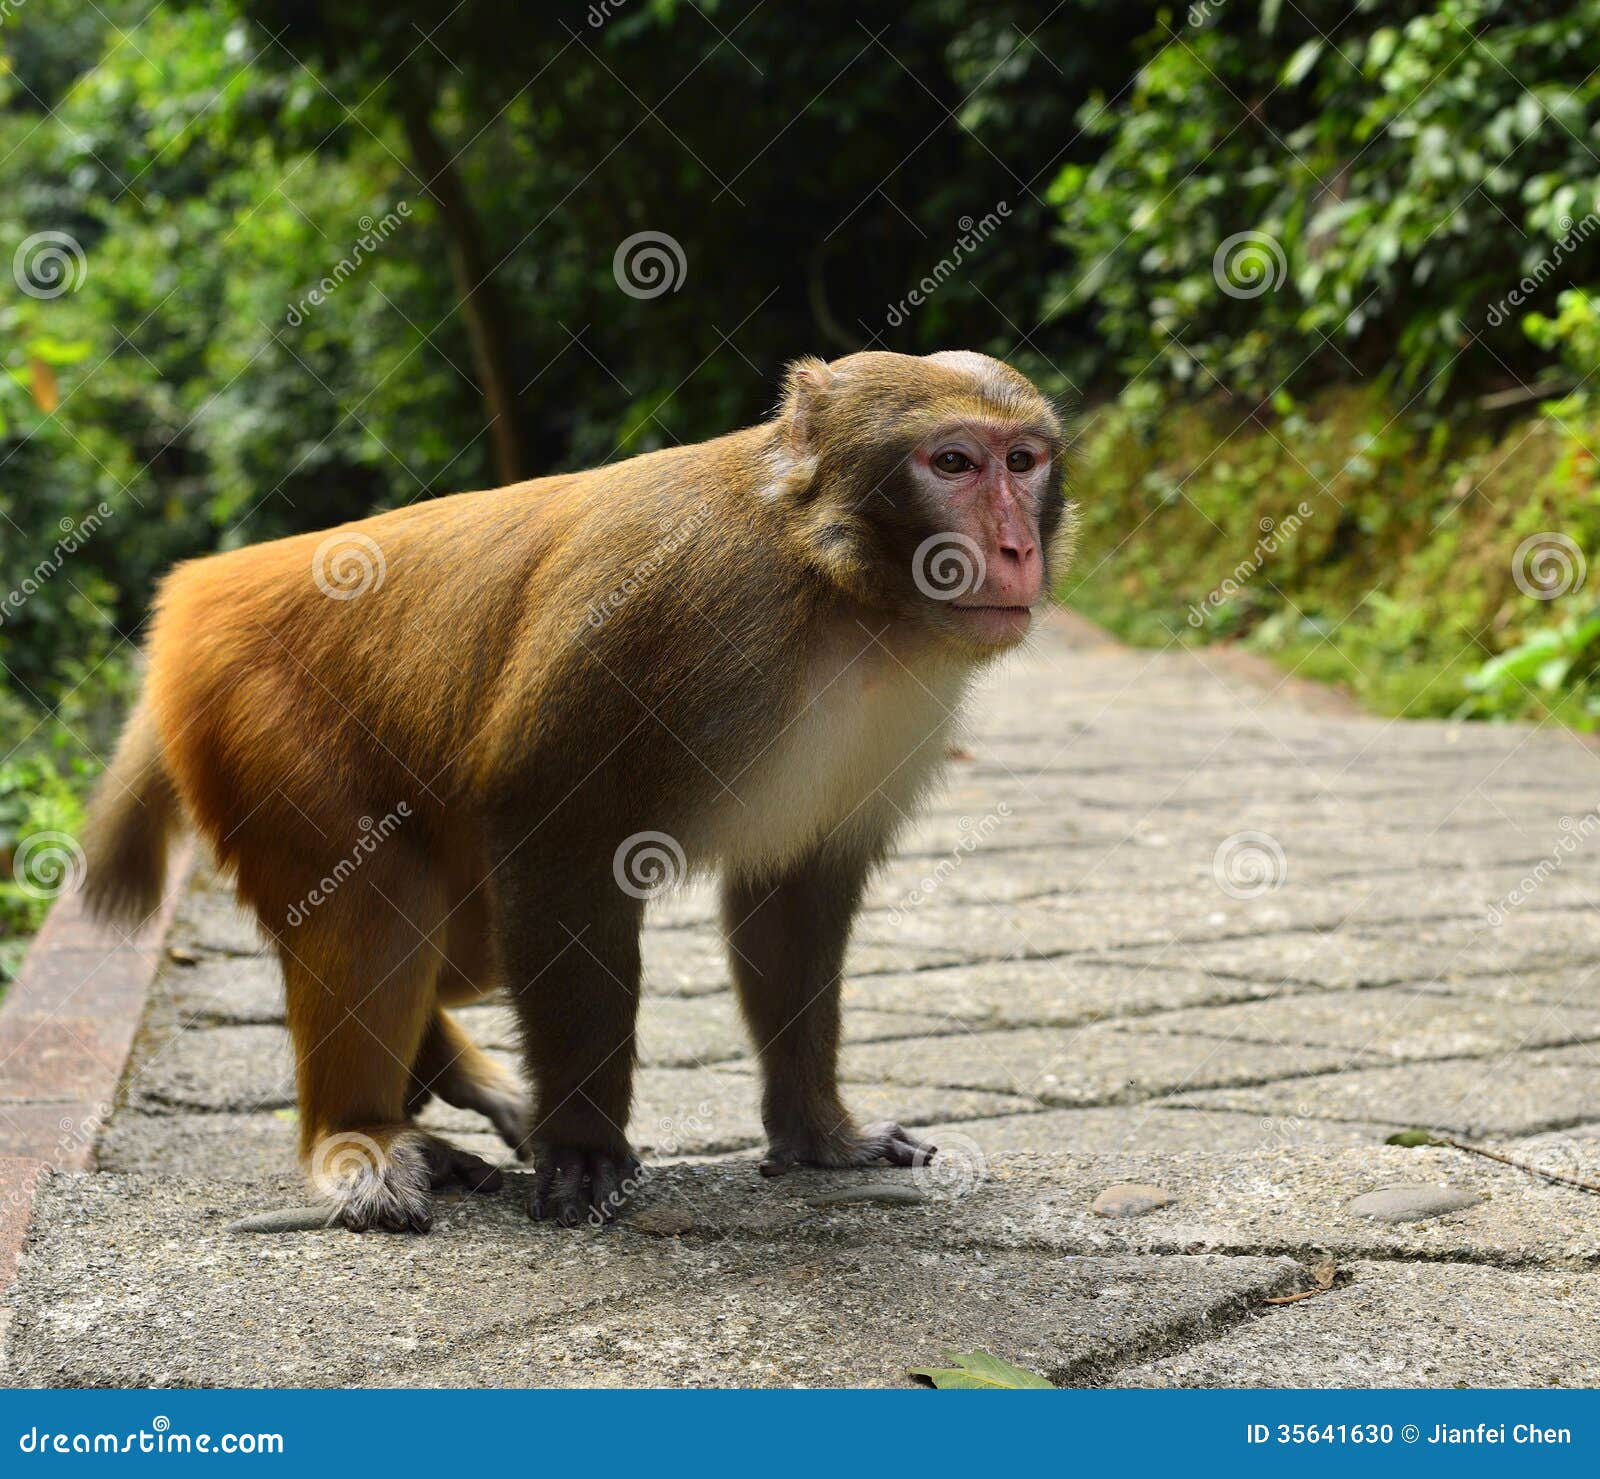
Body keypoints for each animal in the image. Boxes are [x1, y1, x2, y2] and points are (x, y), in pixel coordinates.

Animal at [82, 349, 1072, 1233]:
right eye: (953, 463)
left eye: (1023, 461)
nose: (1016, 546)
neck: (835, 588)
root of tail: (201, 584)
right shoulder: (671, 612)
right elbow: (556, 828)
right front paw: (589, 1147)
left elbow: (795, 891)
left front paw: (821, 1135)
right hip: (253, 713)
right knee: (379, 889)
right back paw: (360, 1133)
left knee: (459, 945)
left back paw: (447, 1076)